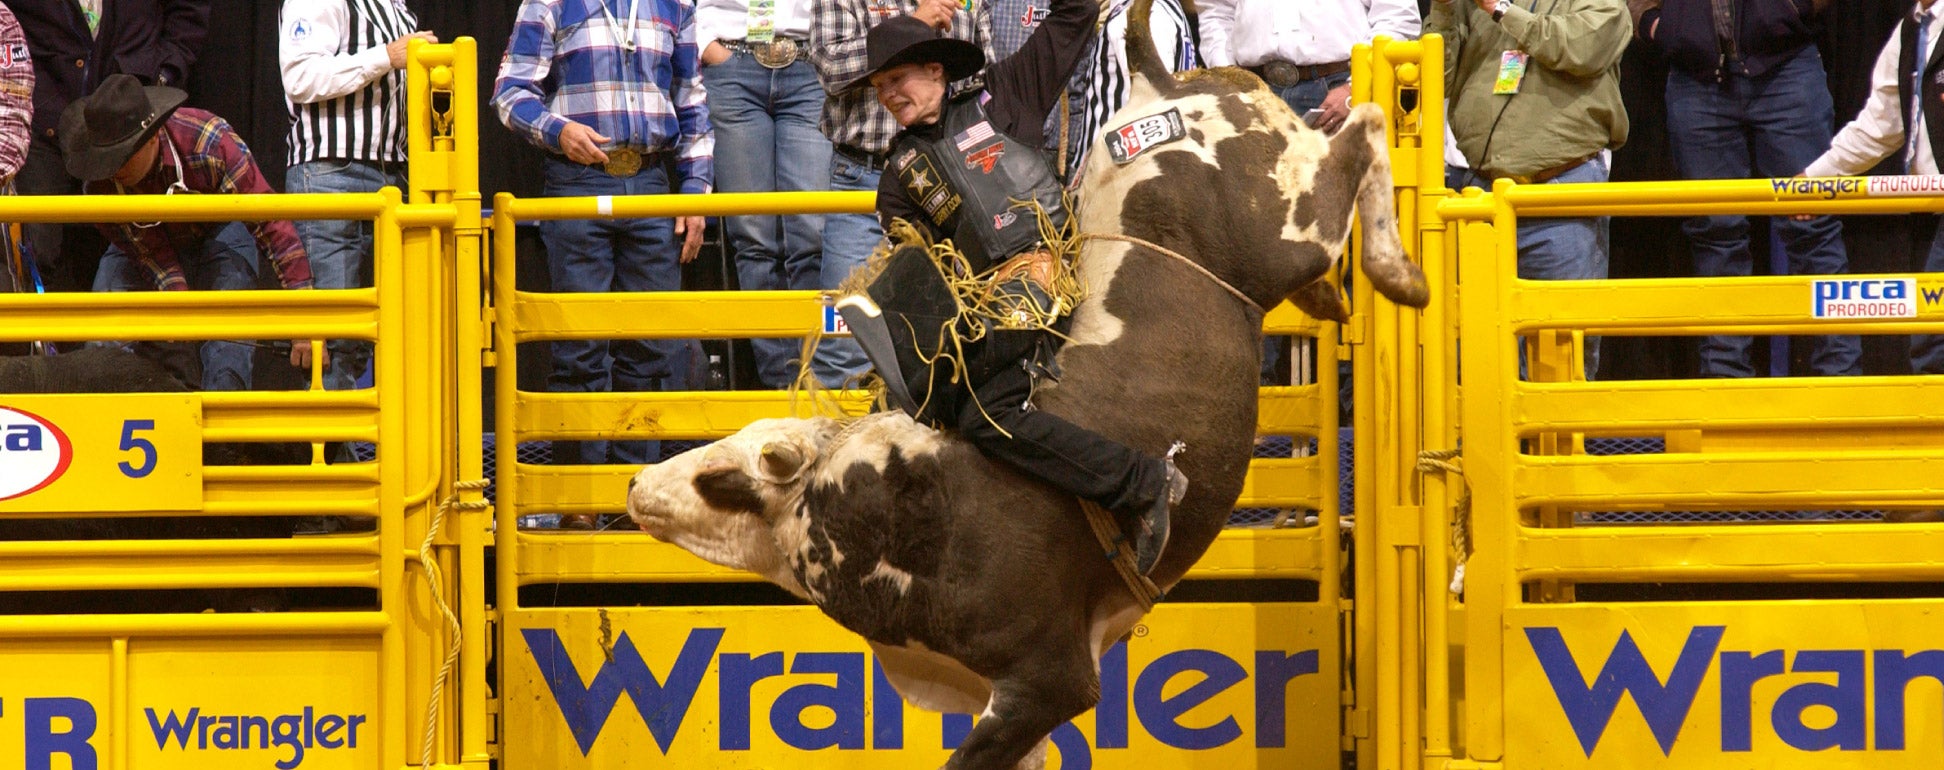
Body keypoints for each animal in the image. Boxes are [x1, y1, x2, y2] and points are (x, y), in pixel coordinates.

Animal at [624, 2, 1430, 767]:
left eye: (720, 479)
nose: (634, 488)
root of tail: (1158, 86)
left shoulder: (1047, 677)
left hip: (1285, 223)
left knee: (1361, 129)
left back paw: (1400, 275)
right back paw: (1335, 297)